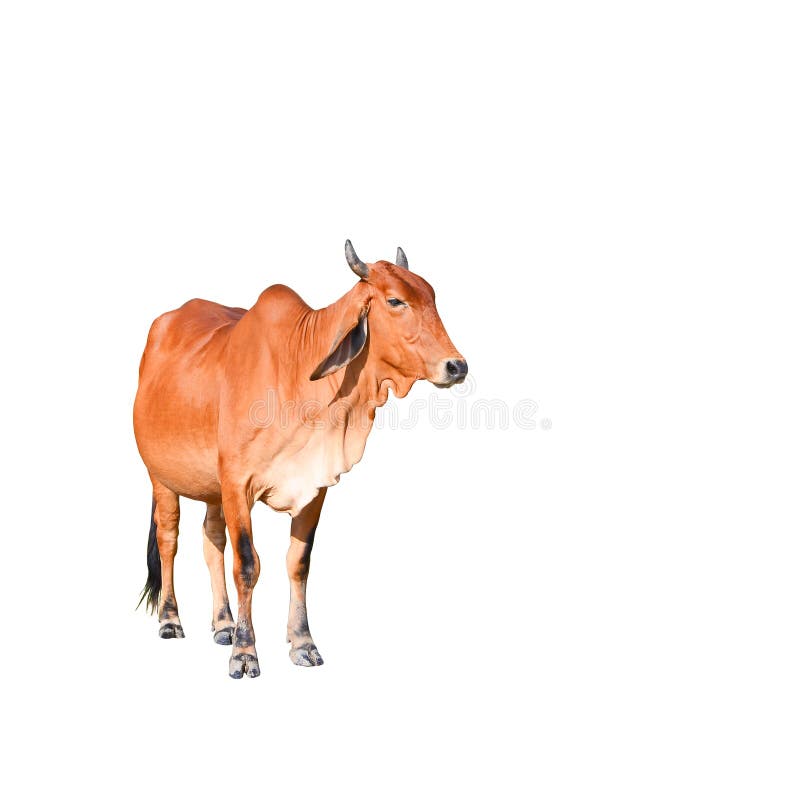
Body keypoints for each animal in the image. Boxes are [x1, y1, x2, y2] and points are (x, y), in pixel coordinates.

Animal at [133, 241, 467, 678]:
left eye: (432, 298)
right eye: (395, 300)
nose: (457, 366)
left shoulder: (313, 487)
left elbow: (298, 563)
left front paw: (303, 642)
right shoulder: (238, 483)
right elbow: (247, 564)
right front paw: (245, 652)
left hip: (212, 489)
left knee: (211, 540)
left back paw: (223, 623)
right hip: (160, 476)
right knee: (169, 540)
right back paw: (171, 619)